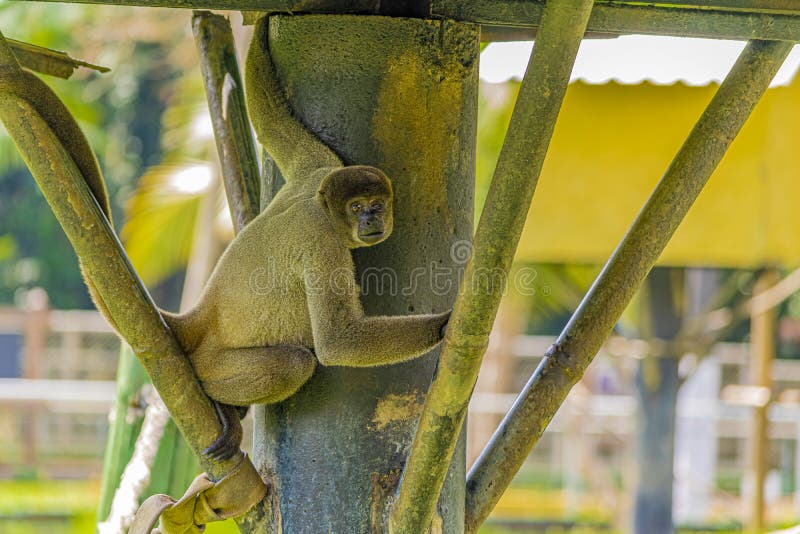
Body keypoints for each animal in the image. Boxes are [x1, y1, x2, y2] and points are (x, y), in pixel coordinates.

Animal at [1, 17, 450, 462]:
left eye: (377, 203)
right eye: (357, 207)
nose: (373, 217)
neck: (321, 207)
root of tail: (198, 317)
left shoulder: (320, 168)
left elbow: (272, 127)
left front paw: (261, 31)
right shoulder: (324, 243)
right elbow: (338, 342)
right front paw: (447, 325)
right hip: (214, 363)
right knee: (292, 363)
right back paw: (222, 405)